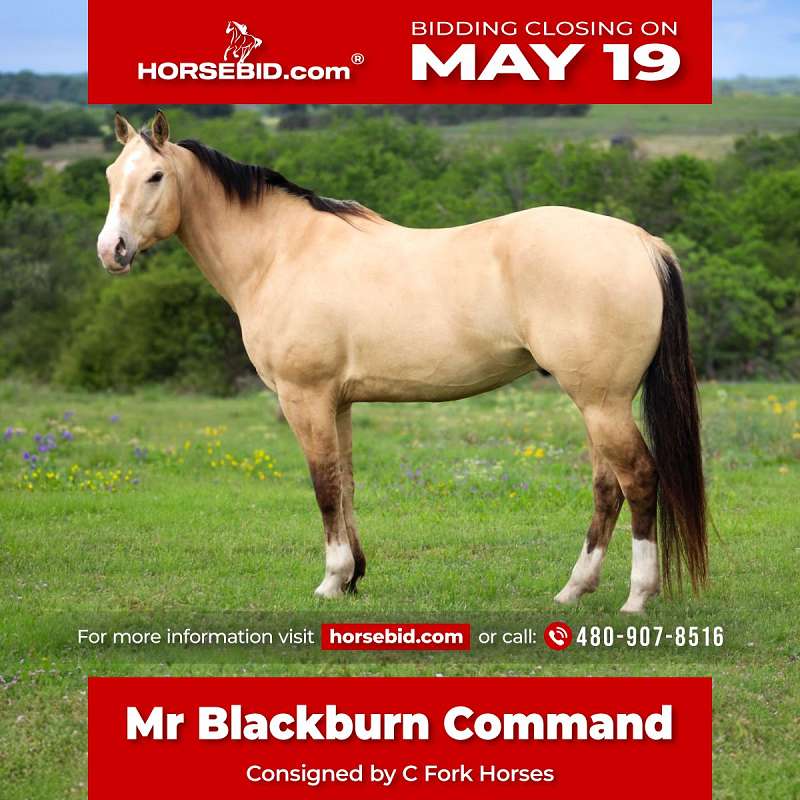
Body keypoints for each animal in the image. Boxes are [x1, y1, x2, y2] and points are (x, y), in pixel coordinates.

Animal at [97, 112, 707, 613]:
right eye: (109, 175)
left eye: (155, 176)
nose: (112, 250)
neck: (282, 253)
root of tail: (642, 242)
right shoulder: (338, 402)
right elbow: (344, 482)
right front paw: (353, 579)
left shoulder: (304, 397)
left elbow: (323, 485)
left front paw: (331, 580)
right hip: (601, 403)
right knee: (609, 486)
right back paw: (573, 590)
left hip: (601, 401)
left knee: (638, 478)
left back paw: (636, 596)